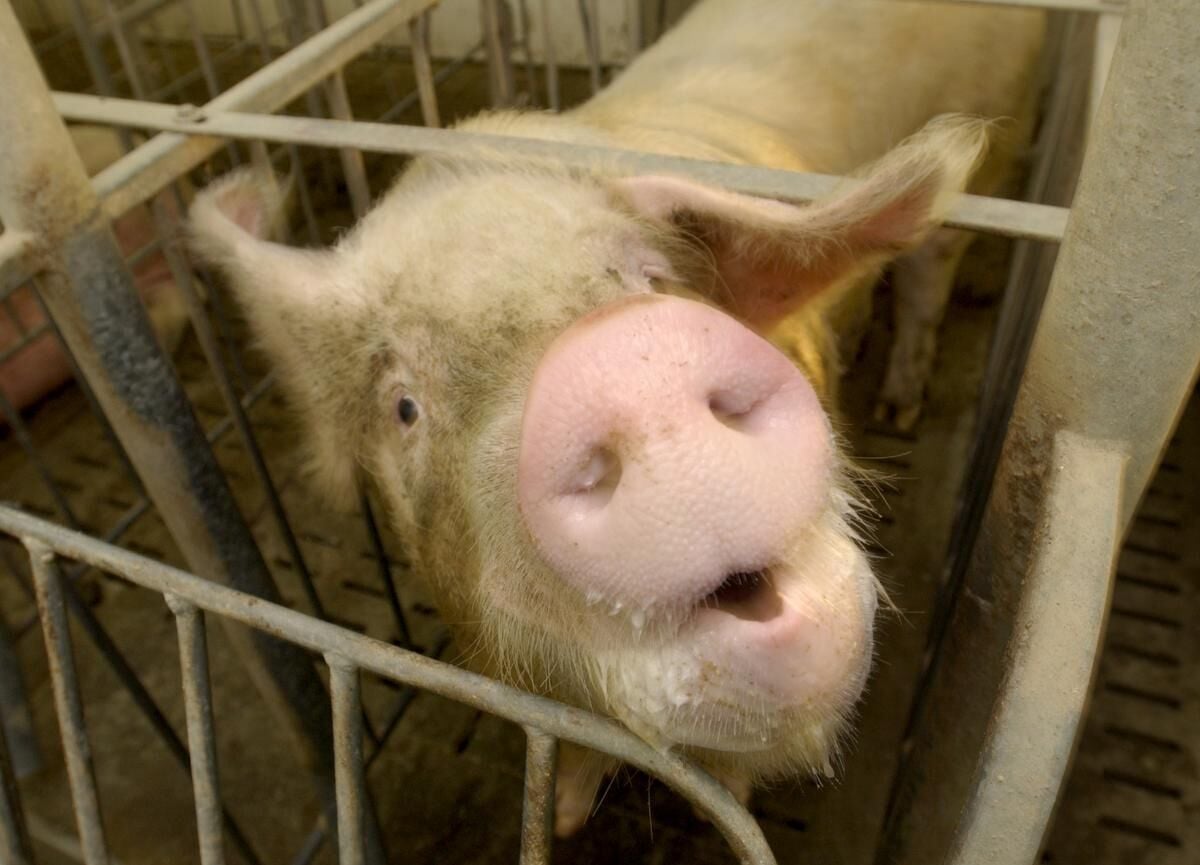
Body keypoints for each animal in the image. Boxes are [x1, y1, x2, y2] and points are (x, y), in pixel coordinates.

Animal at [189, 0, 1044, 836]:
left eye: (654, 278)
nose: (624, 369)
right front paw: (564, 817)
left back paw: (901, 401)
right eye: (405, 406)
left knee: (931, 280)